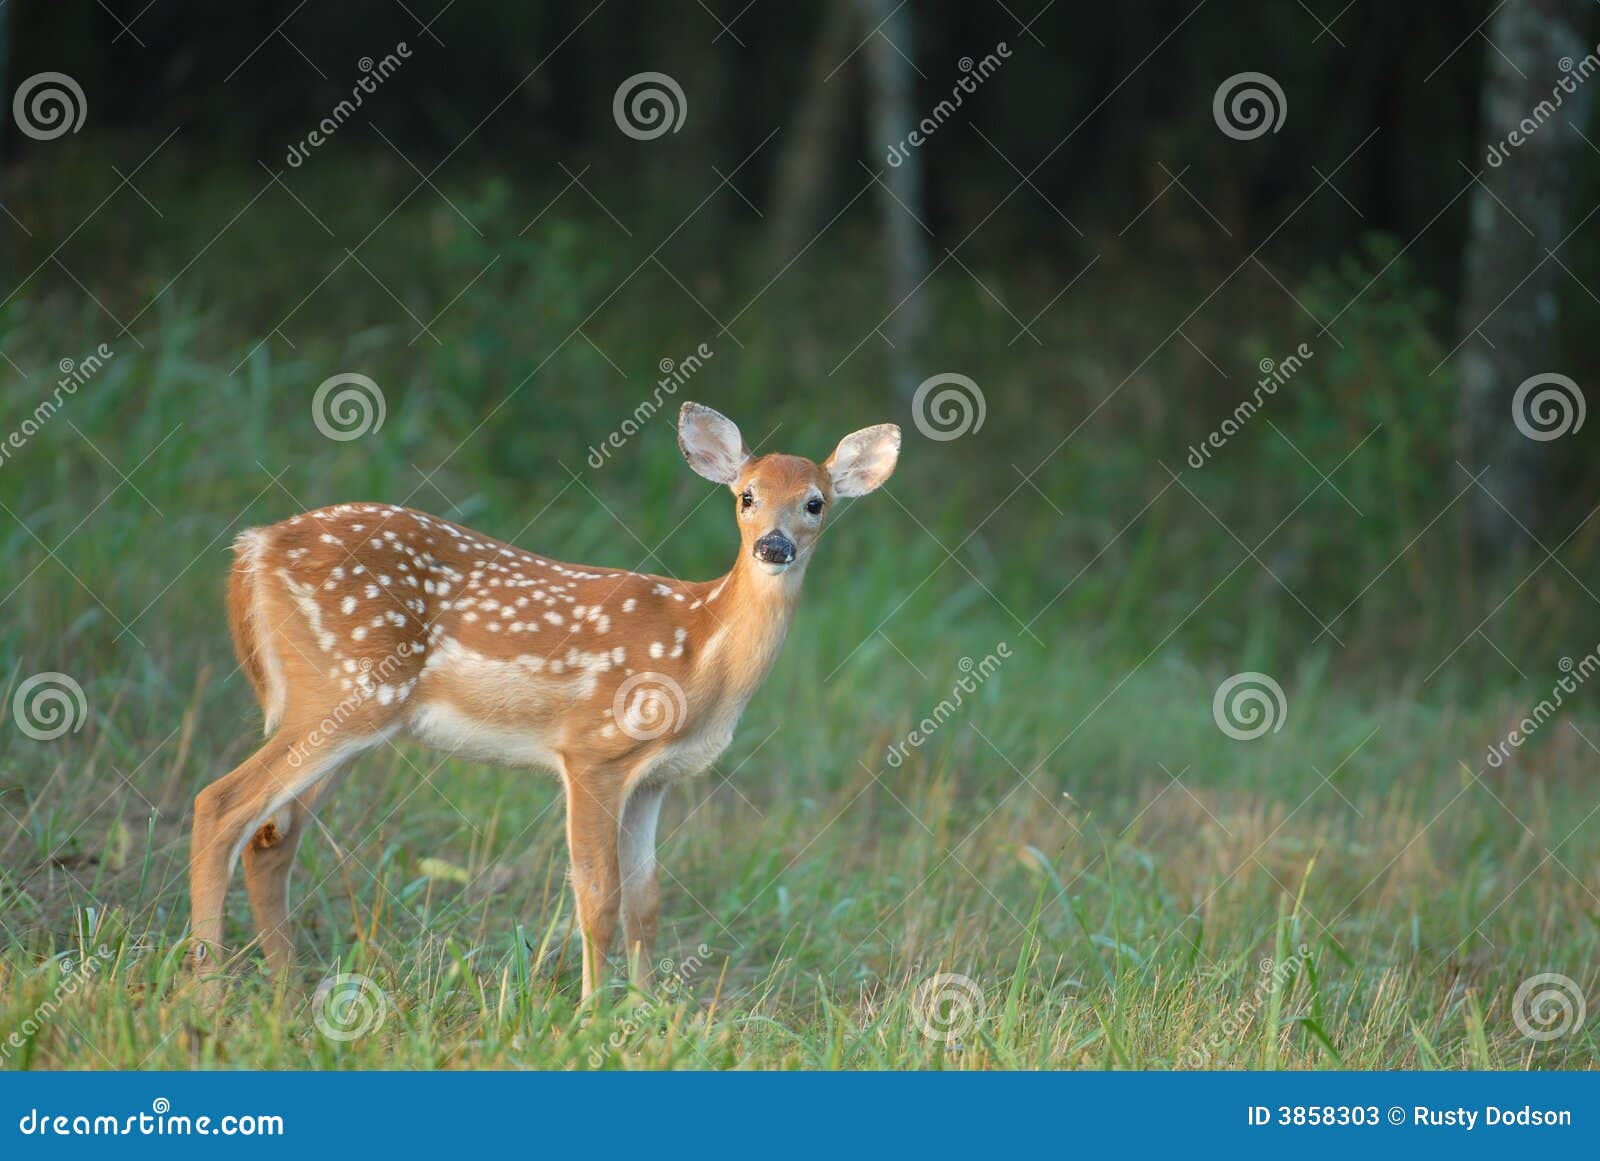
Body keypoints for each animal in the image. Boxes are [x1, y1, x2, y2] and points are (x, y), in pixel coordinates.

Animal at [188, 402, 900, 999]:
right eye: (746, 495)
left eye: (815, 502)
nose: (773, 546)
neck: (701, 652)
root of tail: (253, 549)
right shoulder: (594, 750)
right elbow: (599, 898)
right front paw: (591, 1015)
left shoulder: (656, 779)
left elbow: (646, 903)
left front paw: (645, 1013)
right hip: (343, 688)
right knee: (221, 804)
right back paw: (207, 994)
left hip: (337, 713)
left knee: (271, 840)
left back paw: (287, 995)